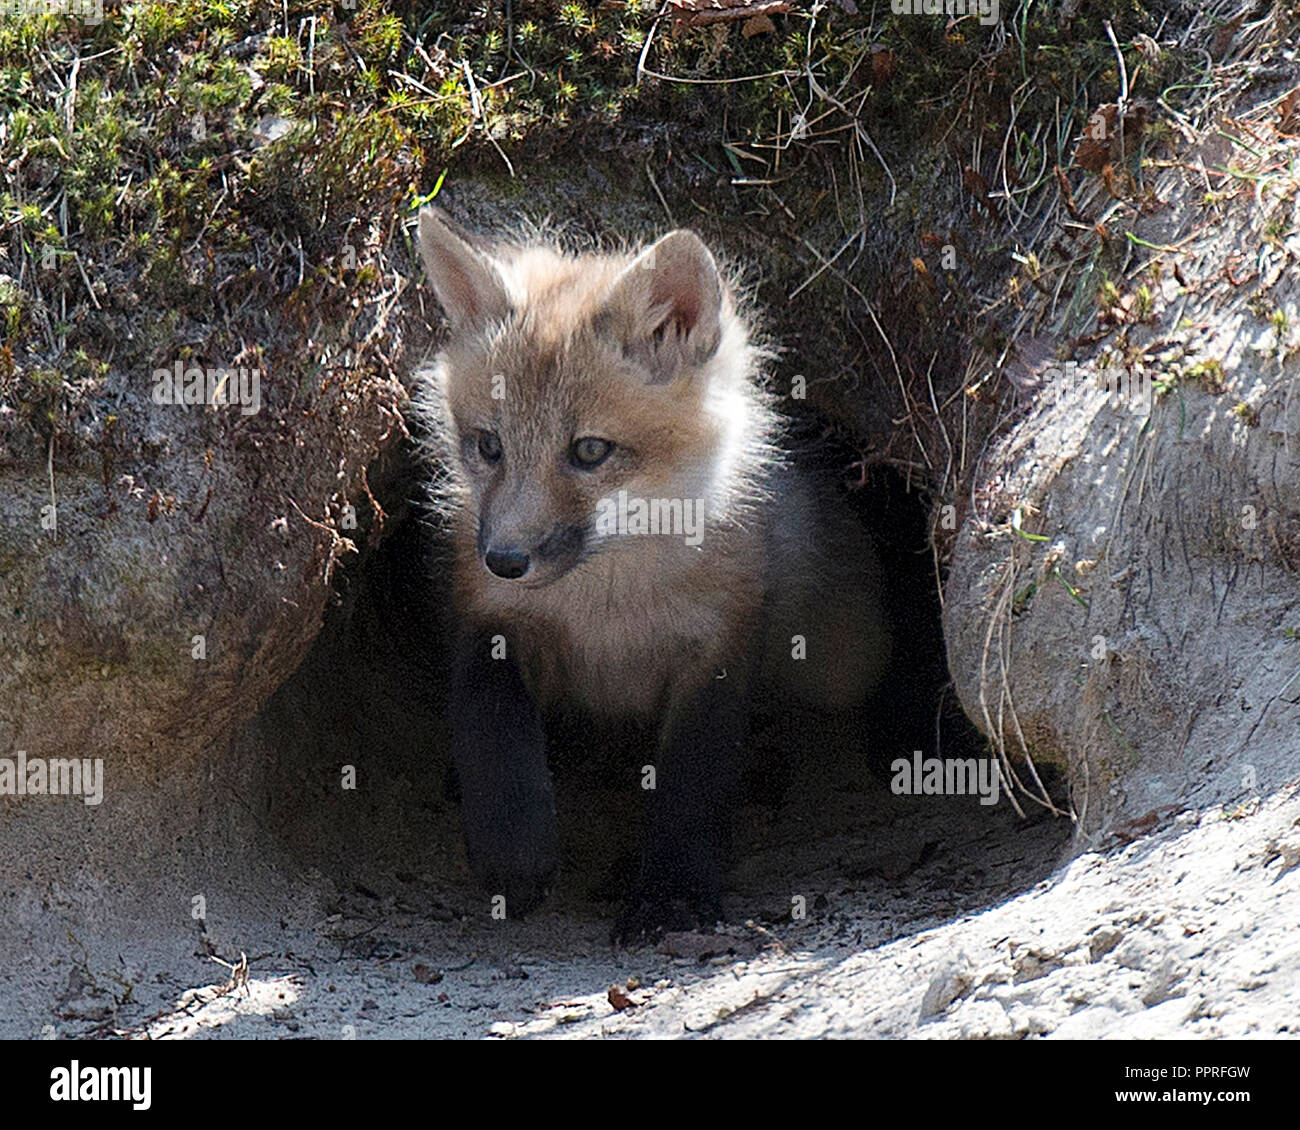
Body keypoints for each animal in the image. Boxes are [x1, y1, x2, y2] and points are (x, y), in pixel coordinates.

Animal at [412, 204, 890, 940]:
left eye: (589, 451)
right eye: (488, 445)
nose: (505, 560)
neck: (612, 608)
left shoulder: (719, 645)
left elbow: (694, 782)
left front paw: (672, 896)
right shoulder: (489, 618)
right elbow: (492, 726)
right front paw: (514, 852)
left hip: (839, 662)